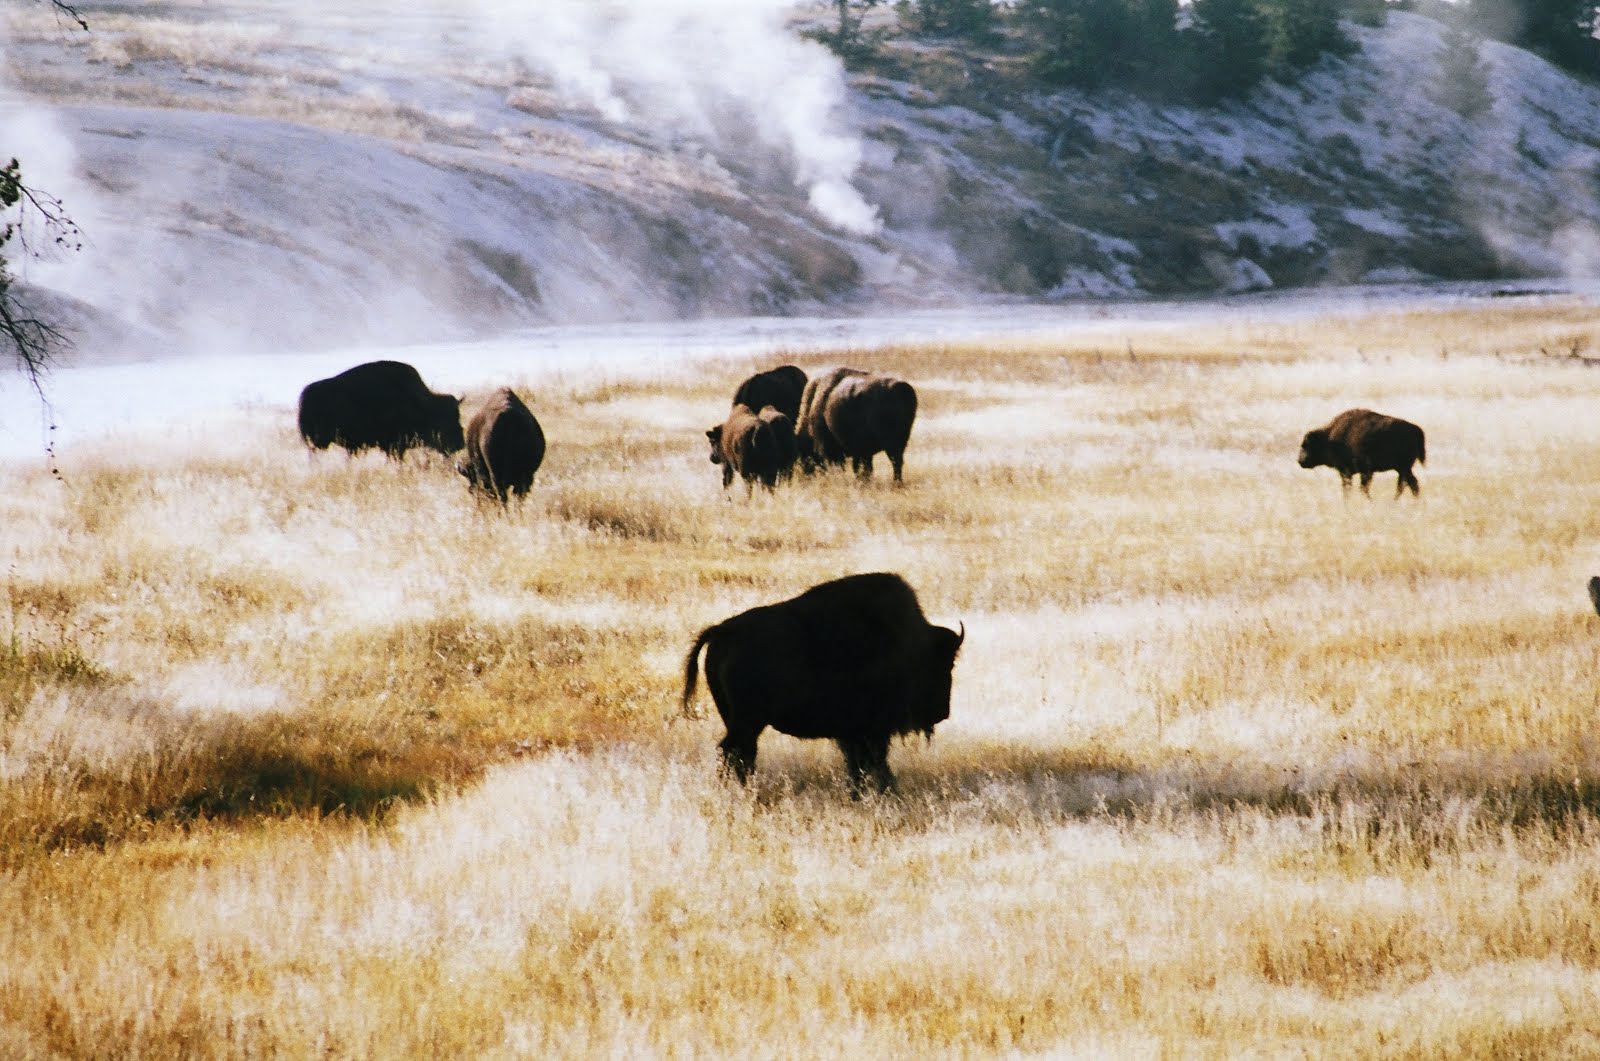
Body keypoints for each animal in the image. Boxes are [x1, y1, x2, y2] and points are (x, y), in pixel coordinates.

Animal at [681, 572, 964, 794]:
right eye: (944, 664)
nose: (943, 712)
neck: (909, 645)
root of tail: (722, 630)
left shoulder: (855, 733)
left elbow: (860, 765)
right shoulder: (872, 730)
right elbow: (874, 762)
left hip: (738, 720)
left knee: (740, 753)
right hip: (748, 722)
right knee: (735, 752)